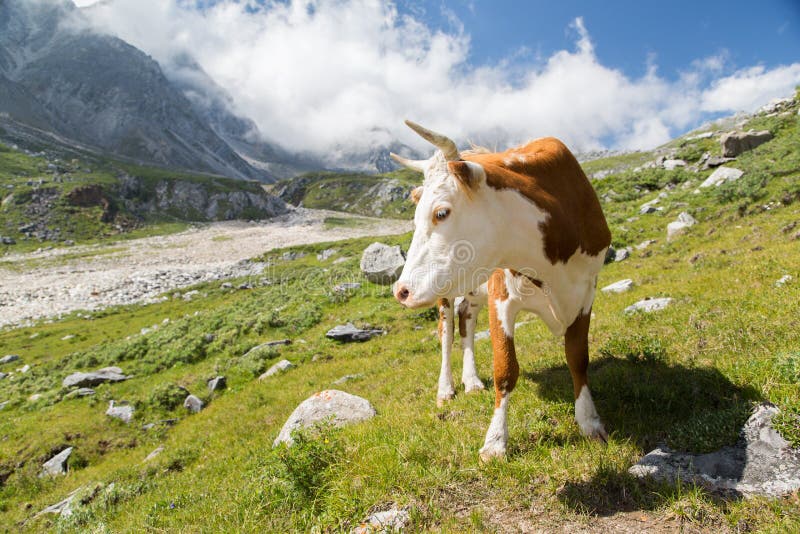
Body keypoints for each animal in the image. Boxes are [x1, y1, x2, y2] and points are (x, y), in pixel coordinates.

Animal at [391, 120, 611, 461]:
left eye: (441, 213)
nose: (400, 290)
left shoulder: (586, 291)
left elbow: (578, 357)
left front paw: (589, 422)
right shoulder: (501, 297)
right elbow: (506, 370)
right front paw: (495, 443)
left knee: (466, 319)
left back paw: (471, 381)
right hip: (444, 292)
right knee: (447, 332)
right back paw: (446, 388)